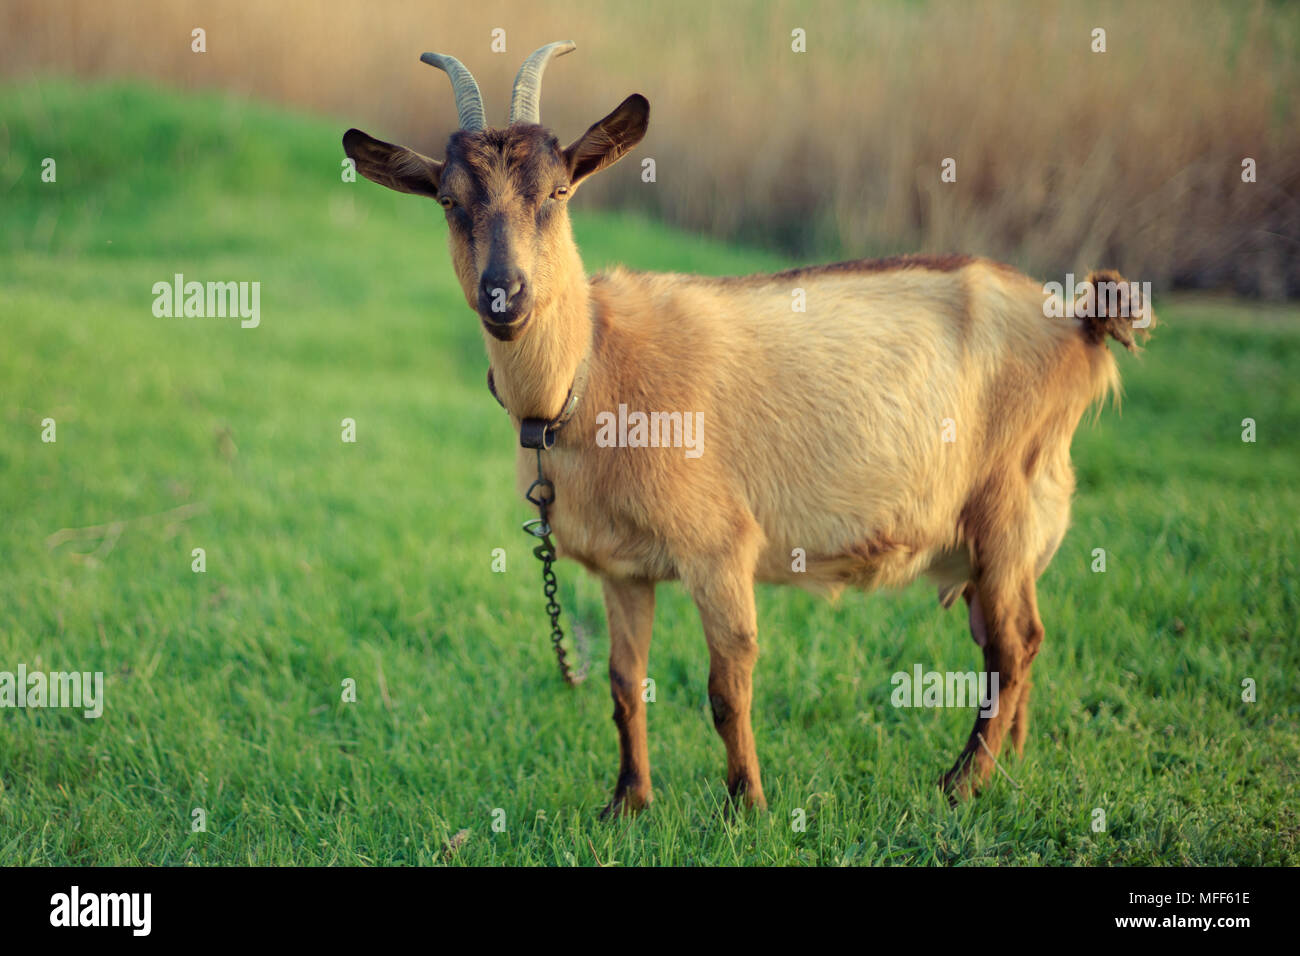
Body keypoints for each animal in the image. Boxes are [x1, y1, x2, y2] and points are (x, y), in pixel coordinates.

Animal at [343, 42, 1153, 815]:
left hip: (1006, 502)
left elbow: (727, 687)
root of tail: (1079, 321)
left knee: (1013, 648)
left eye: (558, 192)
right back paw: (1007, 765)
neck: (589, 376)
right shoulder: (622, 568)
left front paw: (747, 805)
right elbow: (623, 684)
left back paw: (962, 784)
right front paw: (627, 803)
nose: (503, 294)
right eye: (449, 200)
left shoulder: (719, 546)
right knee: (1012, 643)